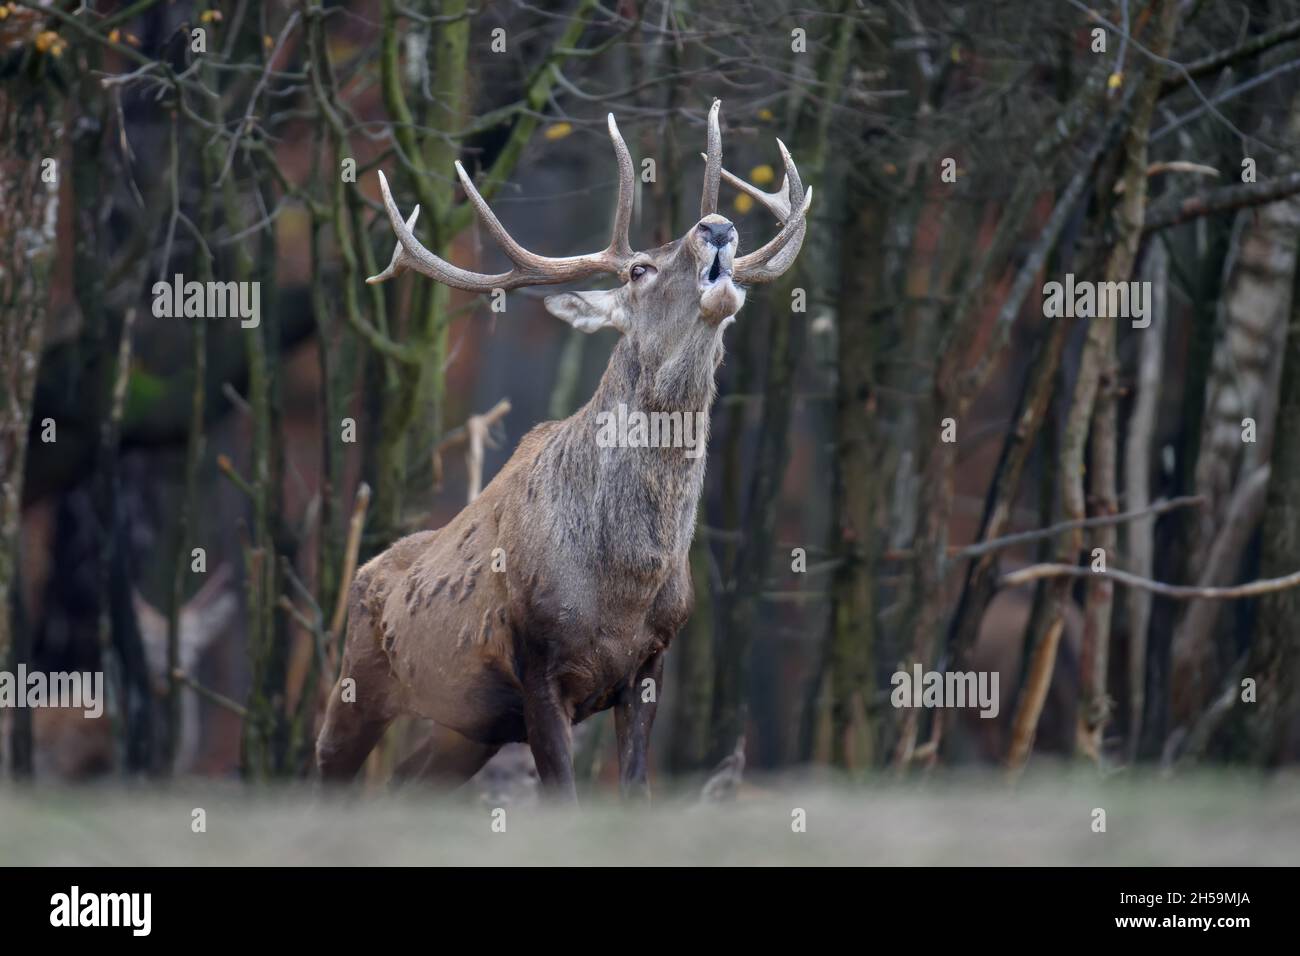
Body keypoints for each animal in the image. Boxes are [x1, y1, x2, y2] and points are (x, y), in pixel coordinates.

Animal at [316, 101, 811, 800]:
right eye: (638, 269)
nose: (716, 226)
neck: (624, 586)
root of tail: (365, 572)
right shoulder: (537, 666)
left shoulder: (650, 665)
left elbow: (635, 790)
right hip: (358, 676)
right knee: (321, 765)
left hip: (466, 726)